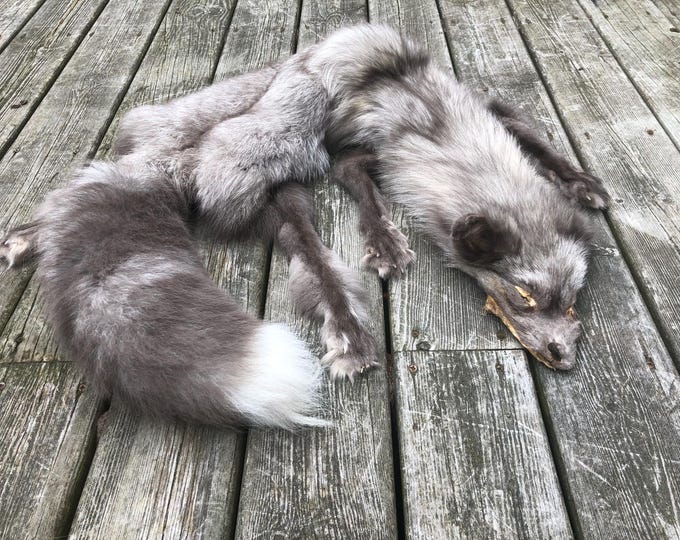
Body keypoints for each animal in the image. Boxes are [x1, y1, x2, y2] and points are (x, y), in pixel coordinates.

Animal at [0, 25, 608, 428]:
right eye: (524, 297)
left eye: (571, 305)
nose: (566, 358)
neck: (430, 119)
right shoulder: (355, 154)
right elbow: (366, 196)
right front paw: (384, 240)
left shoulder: (476, 114)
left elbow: (534, 138)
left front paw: (581, 182)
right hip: (239, 146)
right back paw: (26, 237)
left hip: (287, 197)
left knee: (310, 255)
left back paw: (346, 327)